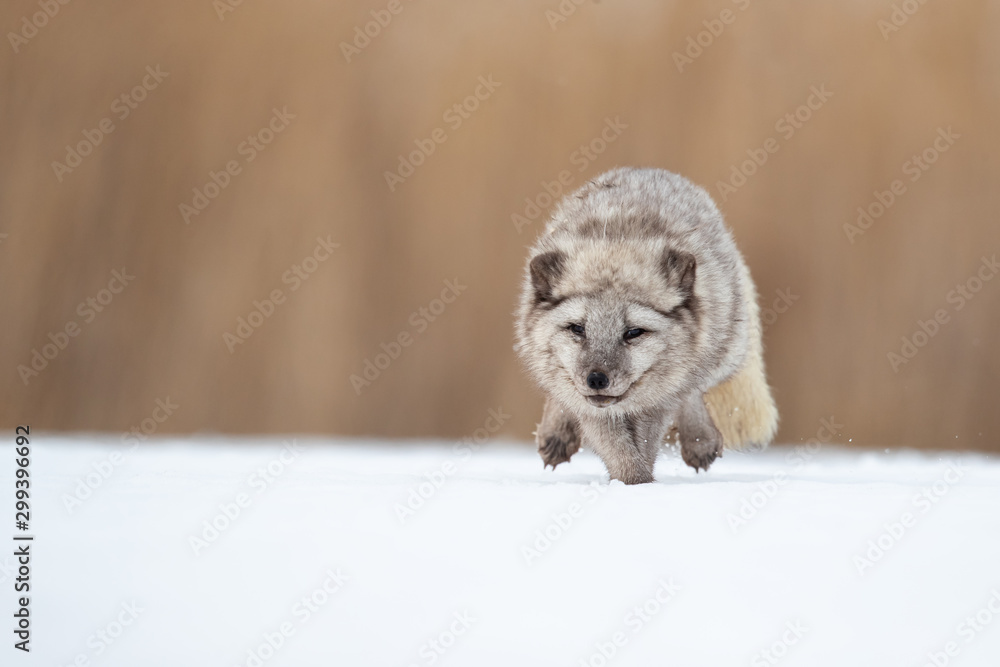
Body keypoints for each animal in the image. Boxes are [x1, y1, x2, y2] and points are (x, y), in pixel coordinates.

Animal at [514, 167, 778, 484]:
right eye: (577, 328)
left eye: (633, 332)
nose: (596, 379)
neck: (616, 239)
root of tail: (648, 170)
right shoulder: (593, 407)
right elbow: (618, 450)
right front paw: (632, 483)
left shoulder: (658, 400)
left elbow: (648, 438)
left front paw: (641, 486)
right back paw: (556, 437)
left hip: (725, 355)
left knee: (694, 390)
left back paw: (700, 441)